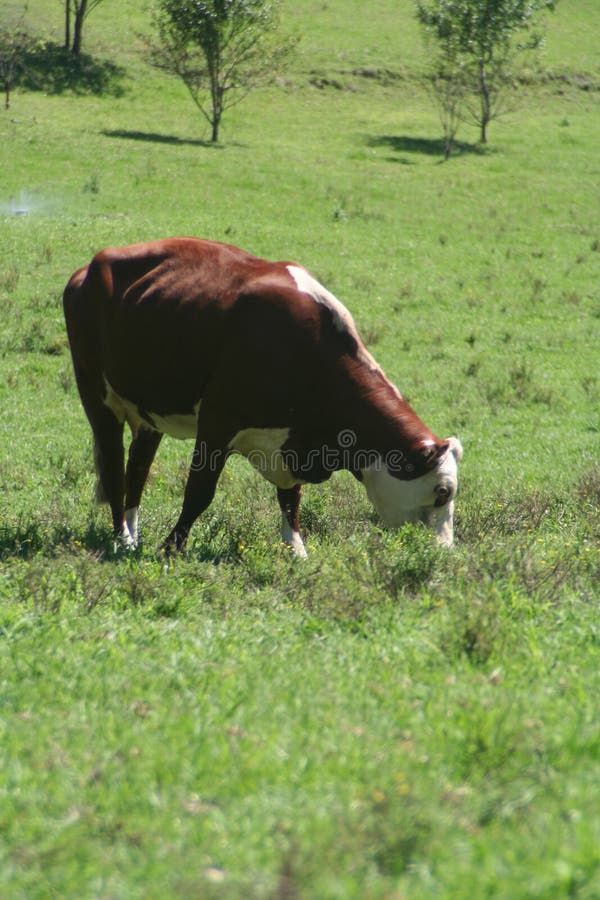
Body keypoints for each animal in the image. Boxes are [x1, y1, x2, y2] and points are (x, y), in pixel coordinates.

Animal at [63, 238, 462, 557]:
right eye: (443, 491)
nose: (444, 551)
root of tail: (89, 267)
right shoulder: (217, 422)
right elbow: (199, 491)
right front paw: (172, 546)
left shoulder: (293, 443)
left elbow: (290, 498)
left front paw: (296, 549)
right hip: (97, 397)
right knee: (114, 469)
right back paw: (121, 539)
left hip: (148, 415)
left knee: (137, 470)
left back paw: (132, 534)